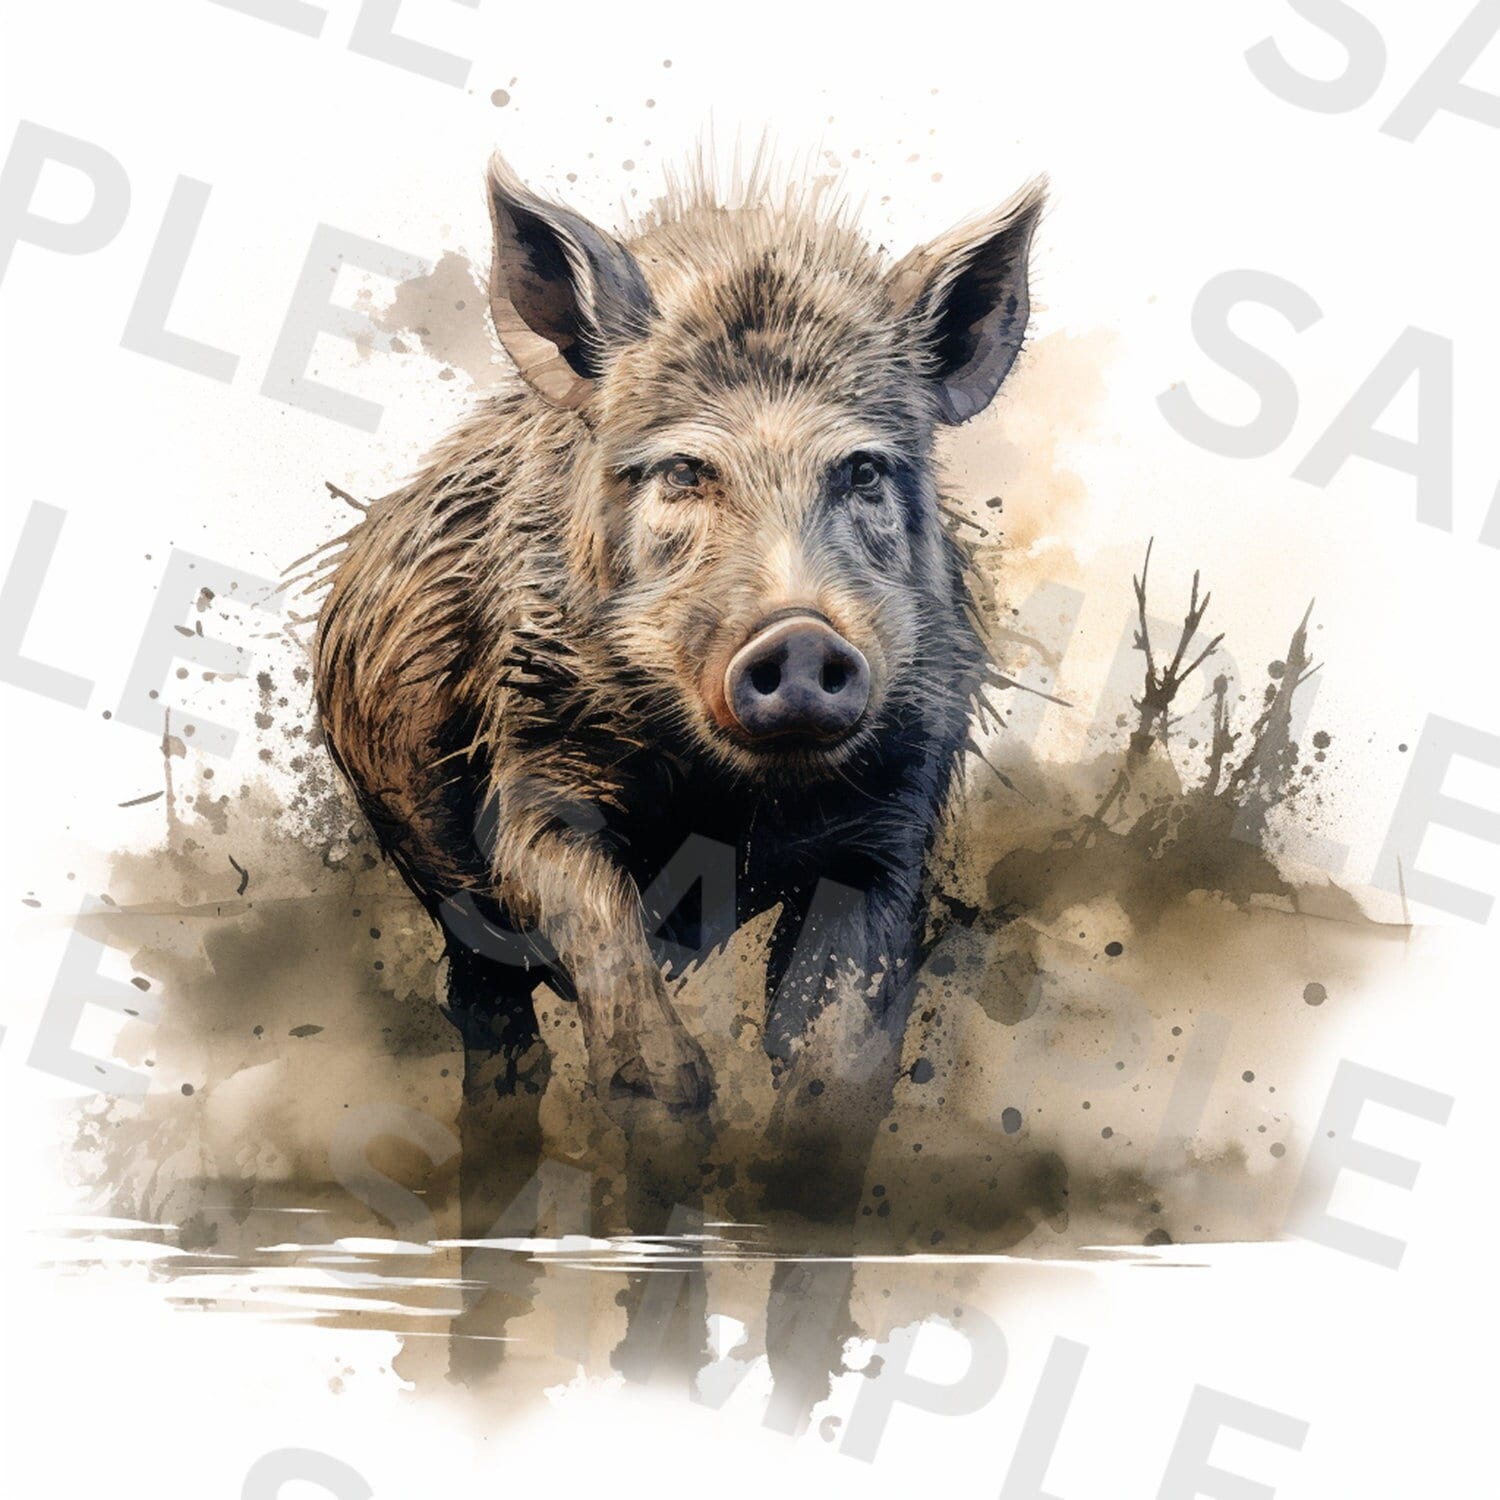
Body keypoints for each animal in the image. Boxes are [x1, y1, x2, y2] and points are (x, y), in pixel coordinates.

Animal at [313, 153, 1043, 1116]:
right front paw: (665, 1095)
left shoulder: (895, 812)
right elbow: (606, 964)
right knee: (493, 1015)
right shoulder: (533, 752)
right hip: (427, 863)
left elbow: (832, 1055)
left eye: (862, 470)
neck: (728, 805)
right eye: (685, 471)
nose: (800, 637)